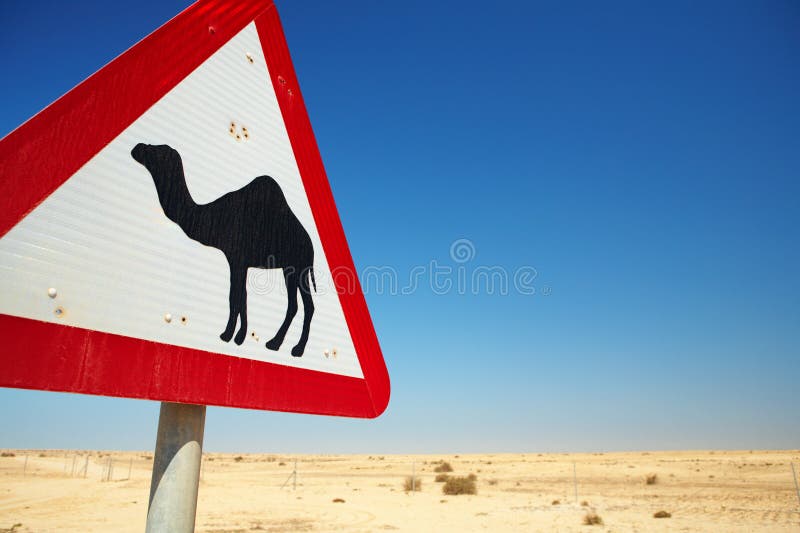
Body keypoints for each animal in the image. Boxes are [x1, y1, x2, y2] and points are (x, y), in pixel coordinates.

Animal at [131, 143, 315, 357]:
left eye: (159, 152)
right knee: (299, 305)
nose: (138, 147)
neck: (214, 214)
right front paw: (238, 337)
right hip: (291, 268)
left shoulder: (237, 258)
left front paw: (228, 335)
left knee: (302, 305)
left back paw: (291, 348)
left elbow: (235, 296)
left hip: (299, 266)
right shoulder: (238, 261)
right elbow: (240, 296)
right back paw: (279, 344)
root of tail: (311, 246)